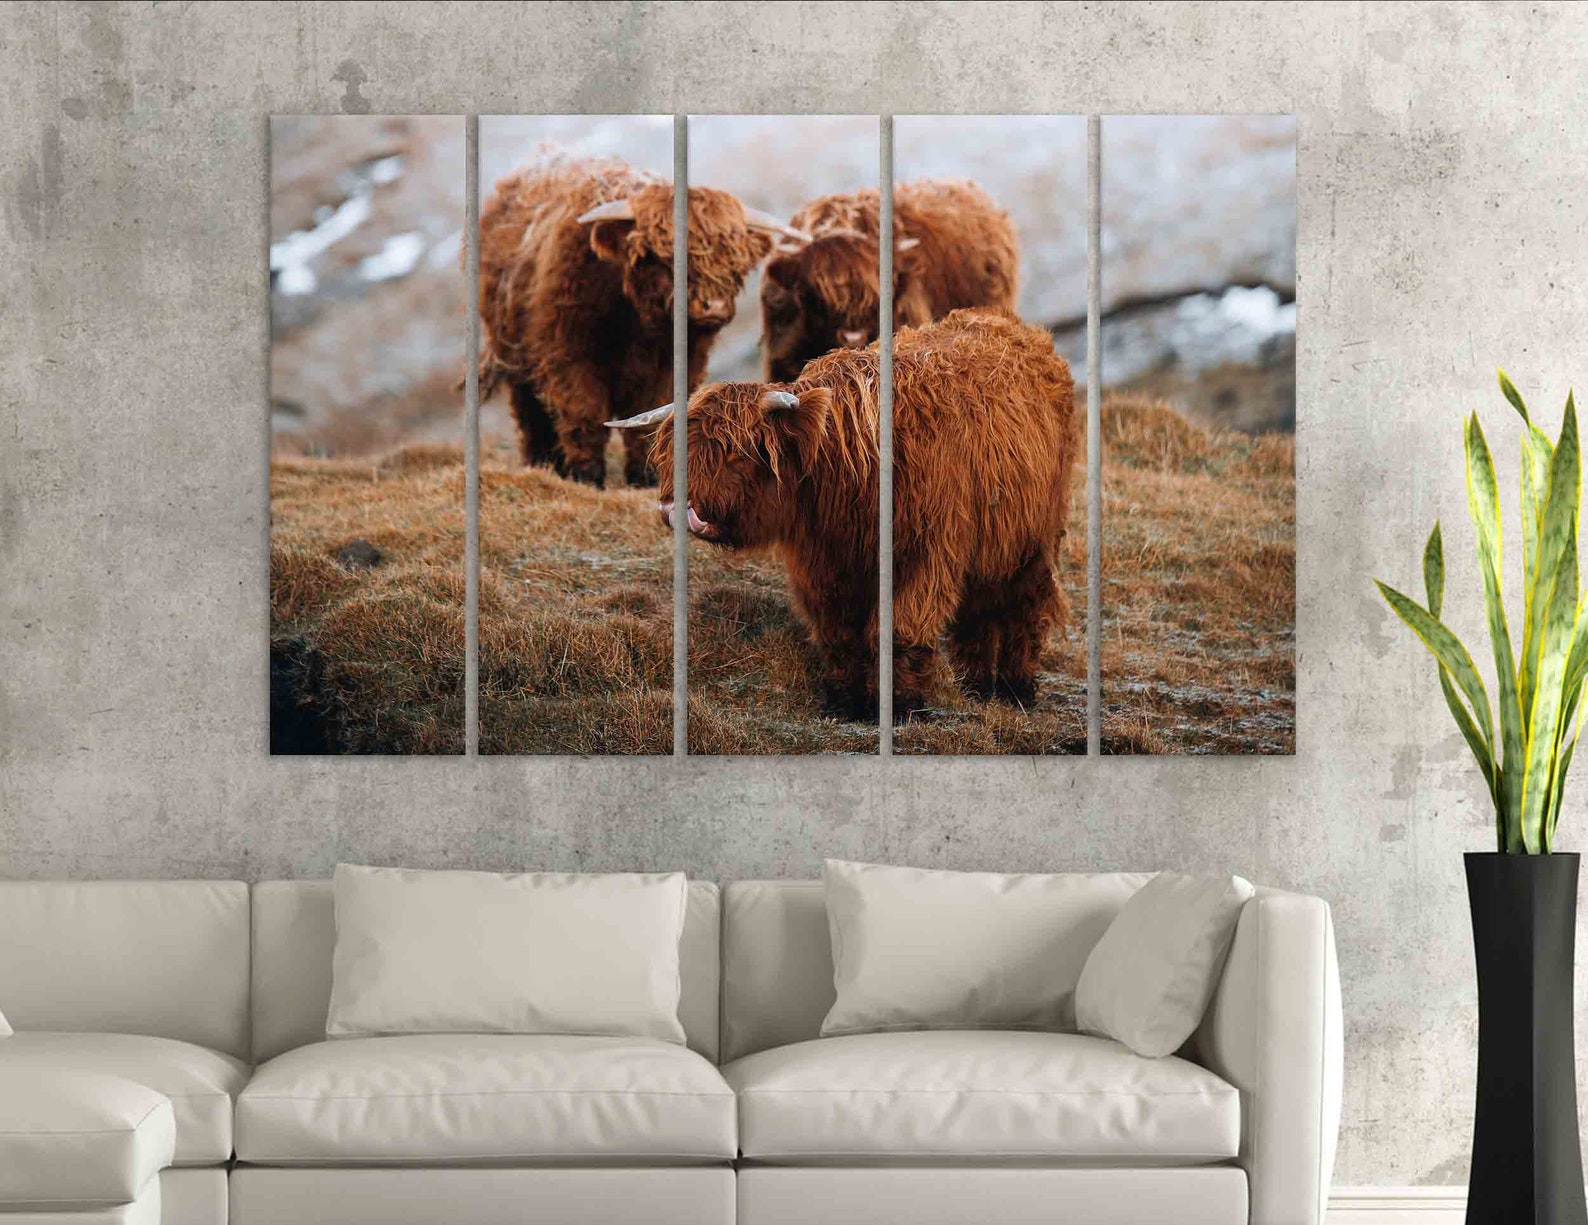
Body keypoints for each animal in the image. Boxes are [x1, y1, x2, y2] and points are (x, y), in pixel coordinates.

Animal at [478, 154, 806, 487]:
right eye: (663, 258)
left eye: (733, 259)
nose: (712, 306)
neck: (636, 323)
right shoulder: (567, 354)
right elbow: (584, 411)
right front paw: (587, 475)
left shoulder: (673, 364)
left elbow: (652, 412)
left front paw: (647, 475)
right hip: (515, 355)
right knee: (531, 413)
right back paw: (541, 463)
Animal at [612, 308, 1077, 719]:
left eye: (736, 453)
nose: (676, 508)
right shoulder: (823, 561)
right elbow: (838, 633)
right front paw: (843, 703)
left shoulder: (925, 555)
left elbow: (899, 630)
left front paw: (901, 707)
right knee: (978, 611)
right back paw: (975, 686)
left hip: (1035, 539)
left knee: (1027, 606)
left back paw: (1016, 690)